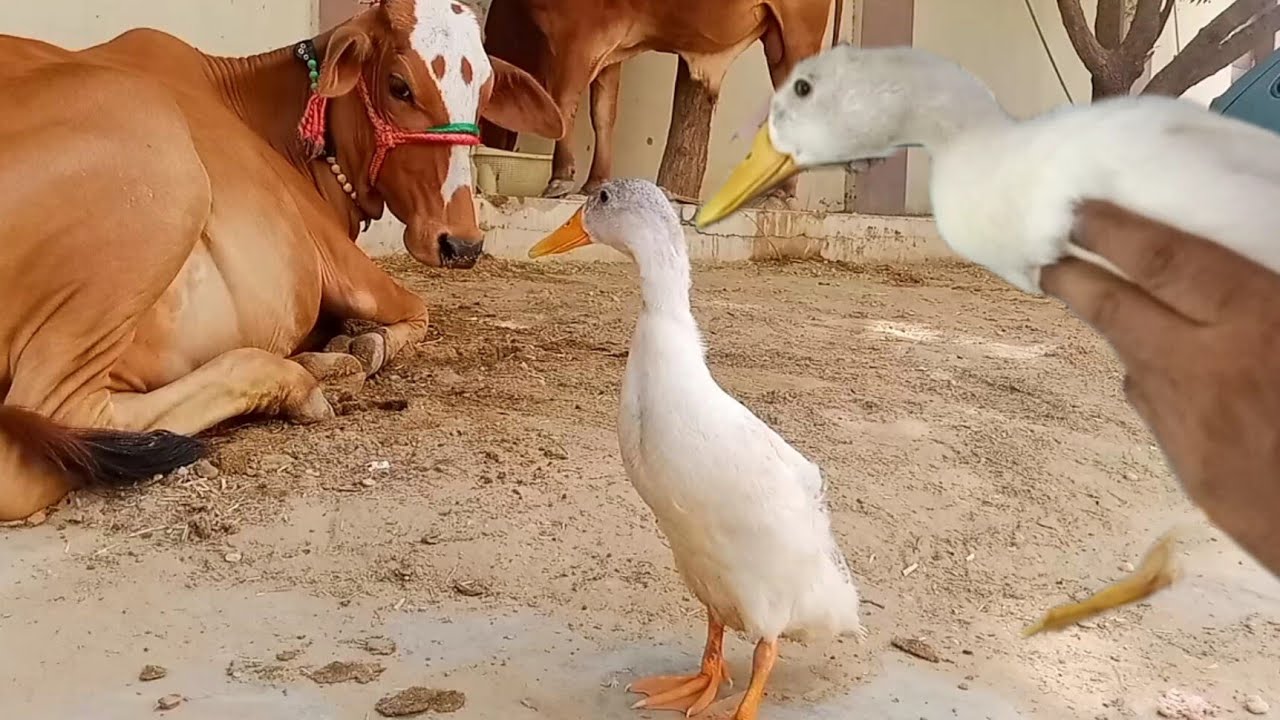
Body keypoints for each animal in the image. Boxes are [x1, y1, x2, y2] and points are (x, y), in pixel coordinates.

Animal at [0, 0, 565, 522]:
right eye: (399, 86)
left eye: (485, 95)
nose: (462, 244)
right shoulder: (336, 259)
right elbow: (415, 310)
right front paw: (362, 349)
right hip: (160, 175)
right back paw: (298, 382)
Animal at [480, 0, 842, 204]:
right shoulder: (608, 50)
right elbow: (603, 115)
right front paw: (595, 182)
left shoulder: (574, 37)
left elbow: (564, 103)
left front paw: (560, 179)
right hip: (778, 40)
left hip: (799, 32)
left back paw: (780, 194)